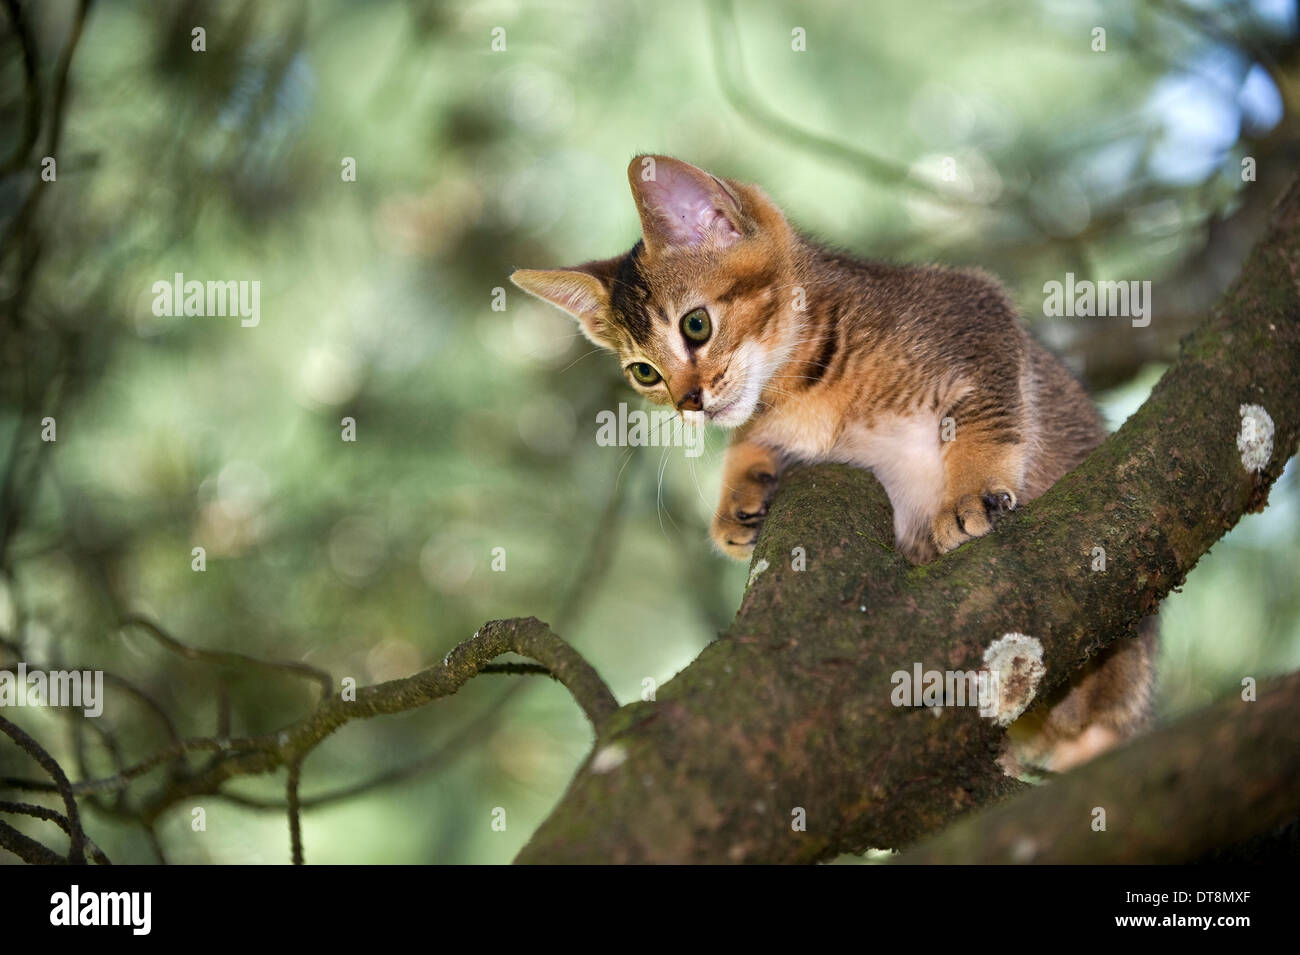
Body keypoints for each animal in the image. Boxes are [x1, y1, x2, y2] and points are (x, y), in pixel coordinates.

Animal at [511, 155, 1156, 773]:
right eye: (643, 372)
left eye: (696, 325)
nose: (687, 402)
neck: (805, 384)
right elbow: (748, 437)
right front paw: (739, 498)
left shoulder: (974, 308)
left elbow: (988, 416)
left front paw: (970, 492)